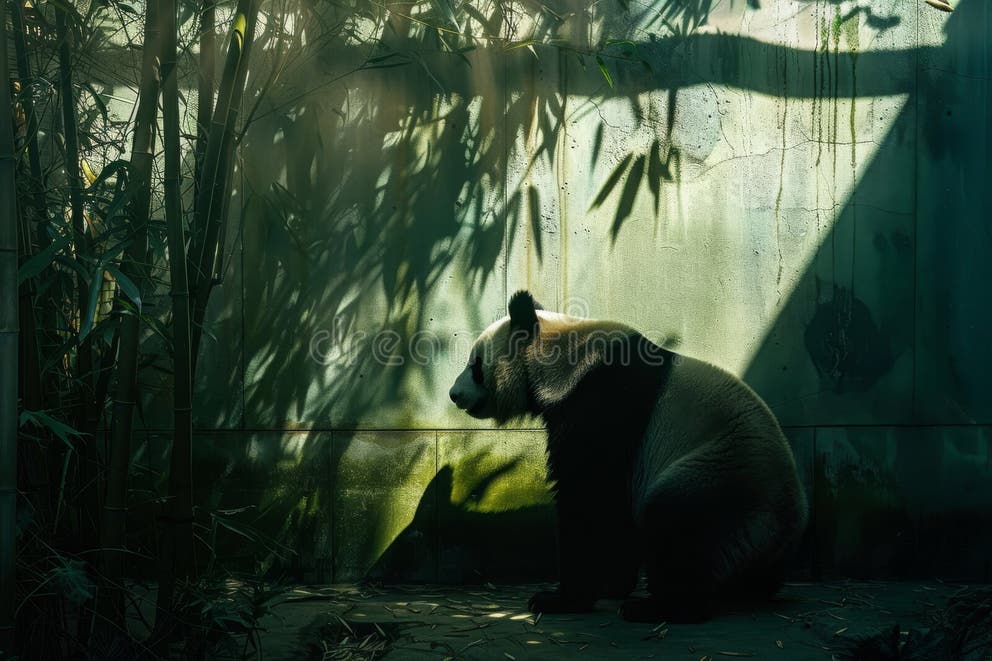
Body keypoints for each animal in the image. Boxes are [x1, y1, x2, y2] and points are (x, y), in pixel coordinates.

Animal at [448, 291, 808, 622]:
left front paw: (560, 599)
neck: (562, 357)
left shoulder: (601, 404)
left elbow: (589, 498)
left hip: (721, 477)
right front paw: (611, 585)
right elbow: (614, 507)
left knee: (677, 528)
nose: (453, 394)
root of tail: (782, 532)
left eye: (475, 365)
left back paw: (662, 606)